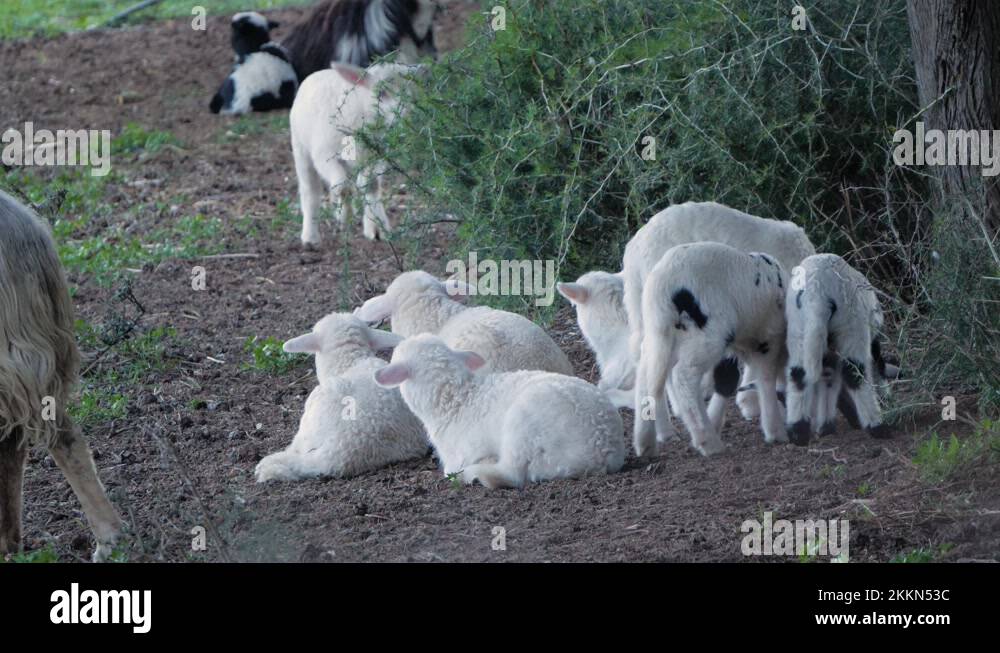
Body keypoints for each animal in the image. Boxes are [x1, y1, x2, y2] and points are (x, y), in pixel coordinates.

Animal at [291, 62, 420, 245]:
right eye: (381, 92)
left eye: (408, 92)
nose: (405, 117)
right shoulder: (324, 155)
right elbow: (343, 186)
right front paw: (346, 216)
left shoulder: (375, 156)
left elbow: (370, 186)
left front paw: (376, 228)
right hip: (301, 148)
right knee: (311, 191)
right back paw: (310, 236)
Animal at [373, 334, 625, 488]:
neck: (456, 401)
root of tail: (602, 450)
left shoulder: (459, 454)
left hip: (523, 426)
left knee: (510, 474)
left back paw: (475, 474)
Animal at [633, 242, 789, 457]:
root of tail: (664, 283)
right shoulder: (768, 338)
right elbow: (766, 378)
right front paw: (776, 430)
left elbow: (729, 378)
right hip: (709, 332)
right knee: (683, 376)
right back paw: (708, 441)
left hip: (659, 331)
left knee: (645, 375)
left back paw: (645, 443)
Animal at [784, 254, 893, 445]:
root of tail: (816, 293)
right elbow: (876, 367)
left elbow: (828, 380)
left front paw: (826, 427)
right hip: (851, 326)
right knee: (855, 374)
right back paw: (877, 426)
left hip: (799, 330)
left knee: (799, 375)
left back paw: (798, 433)